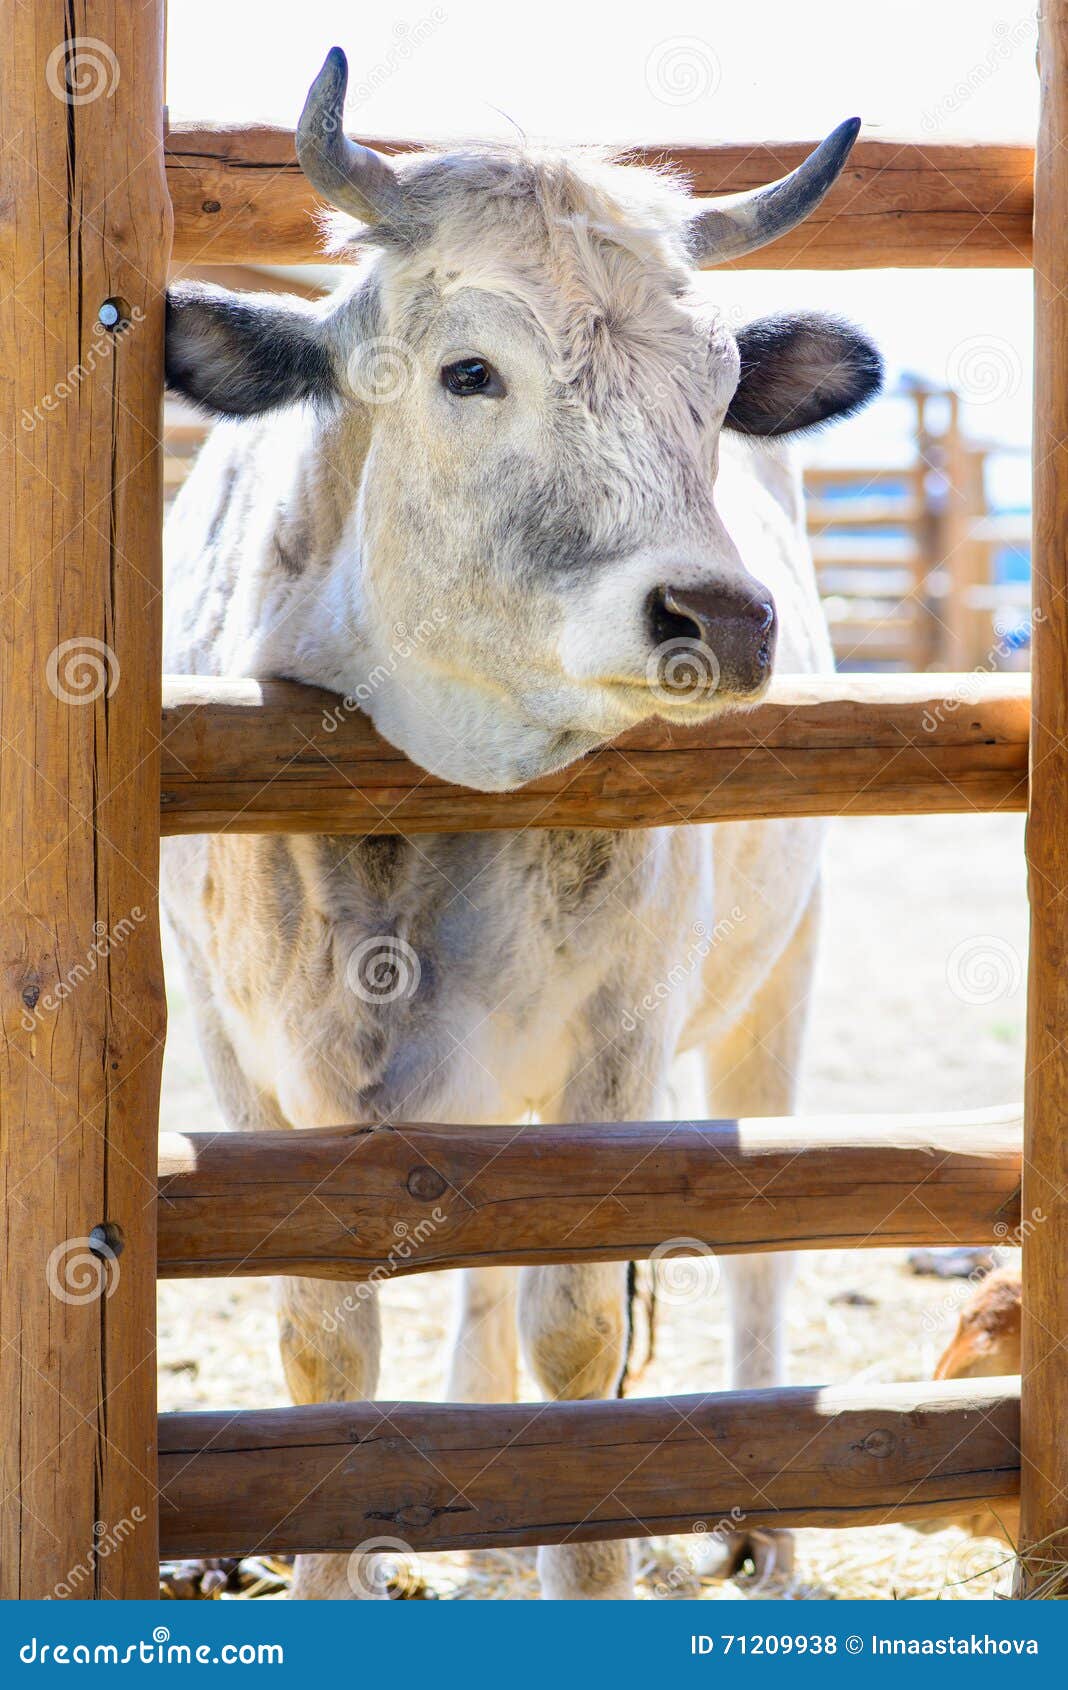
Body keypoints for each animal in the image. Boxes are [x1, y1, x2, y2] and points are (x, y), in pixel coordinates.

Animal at [161, 46, 882, 1600]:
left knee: (762, 1254)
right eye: (469, 369)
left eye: (717, 393)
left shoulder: (620, 1040)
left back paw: (764, 1536)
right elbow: (325, 1339)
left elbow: (580, 1328)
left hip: (777, 977)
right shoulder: (240, 1051)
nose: (723, 614)